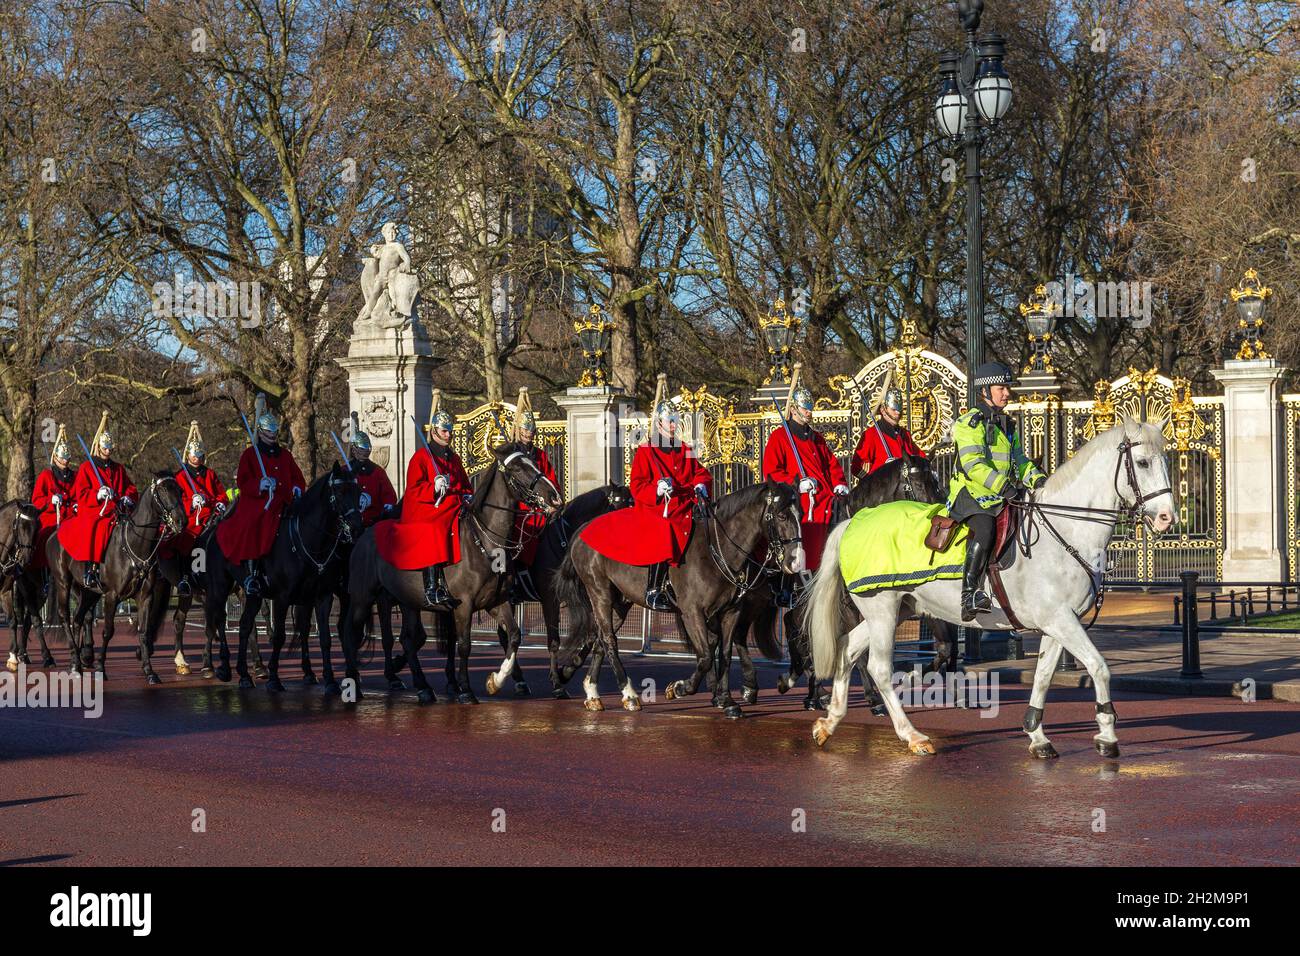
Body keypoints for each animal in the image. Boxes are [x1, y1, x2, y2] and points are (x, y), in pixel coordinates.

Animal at [46, 474, 186, 681]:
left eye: (180, 491)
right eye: (163, 490)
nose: (181, 521)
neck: (135, 546)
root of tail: (55, 533)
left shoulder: (146, 597)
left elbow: (143, 631)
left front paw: (149, 671)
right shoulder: (112, 596)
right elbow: (107, 632)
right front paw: (101, 668)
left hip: (89, 592)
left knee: (78, 618)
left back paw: (77, 662)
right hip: (64, 584)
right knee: (65, 617)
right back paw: (77, 662)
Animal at [201, 463, 363, 688]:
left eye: (358, 492)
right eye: (339, 492)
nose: (357, 528)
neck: (310, 541)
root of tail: (216, 528)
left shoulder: (322, 596)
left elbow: (324, 637)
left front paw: (330, 680)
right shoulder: (282, 598)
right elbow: (279, 636)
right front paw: (274, 678)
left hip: (251, 594)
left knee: (244, 625)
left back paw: (244, 674)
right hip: (220, 586)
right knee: (218, 619)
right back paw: (223, 667)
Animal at [340, 443, 563, 704]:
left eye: (535, 463)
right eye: (517, 469)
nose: (555, 497)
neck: (486, 542)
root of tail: (365, 533)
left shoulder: (497, 602)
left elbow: (515, 635)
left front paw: (496, 681)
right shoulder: (464, 605)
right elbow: (464, 645)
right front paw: (465, 690)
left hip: (407, 601)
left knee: (408, 640)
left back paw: (423, 687)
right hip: (363, 598)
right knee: (350, 633)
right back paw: (352, 684)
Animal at [554, 478, 805, 718]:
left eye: (801, 514)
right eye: (781, 515)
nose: (796, 561)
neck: (718, 550)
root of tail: (584, 528)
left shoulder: (730, 612)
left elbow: (724, 653)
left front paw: (727, 701)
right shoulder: (692, 612)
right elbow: (705, 656)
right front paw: (680, 688)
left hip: (620, 603)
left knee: (600, 639)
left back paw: (593, 692)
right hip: (600, 594)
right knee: (609, 640)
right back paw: (629, 693)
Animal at [805, 417, 1175, 757]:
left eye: (1165, 461)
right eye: (1143, 463)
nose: (1167, 519)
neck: (1065, 531)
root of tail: (853, 521)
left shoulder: (1058, 623)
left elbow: (1043, 675)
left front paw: (1036, 733)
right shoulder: (1060, 620)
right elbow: (1099, 667)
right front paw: (1107, 735)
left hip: (895, 610)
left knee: (846, 649)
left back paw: (830, 722)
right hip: (882, 608)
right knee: (878, 668)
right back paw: (913, 735)